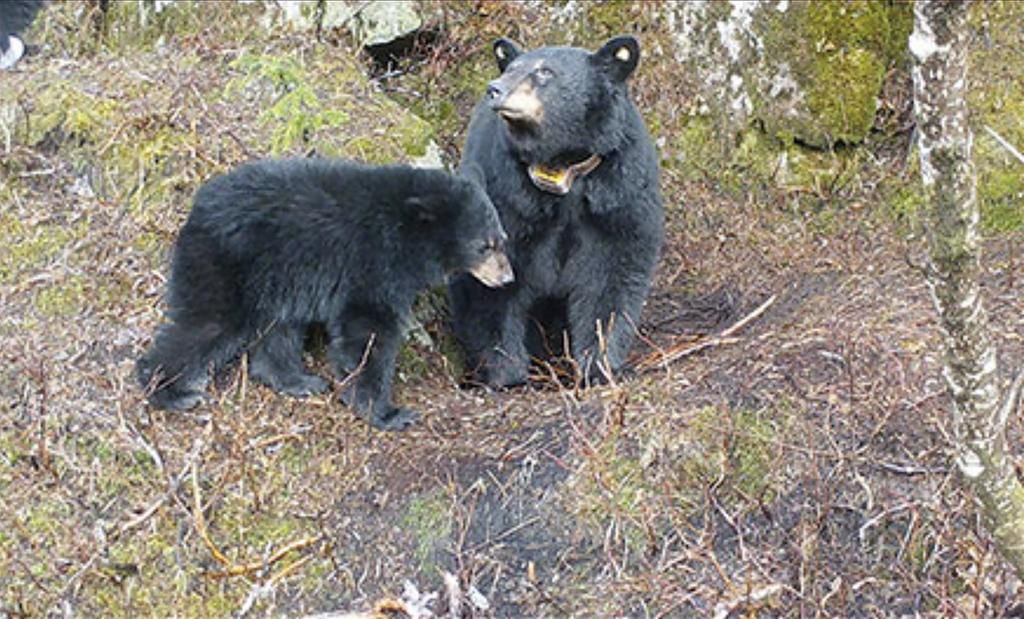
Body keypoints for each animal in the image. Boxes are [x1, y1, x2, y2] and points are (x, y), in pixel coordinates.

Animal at [136, 158, 513, 431]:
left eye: (502, 239)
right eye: (484, 246)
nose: (508, 277)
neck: (405, 235)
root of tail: (196, 209)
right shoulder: (372, 266)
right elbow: (367, 333)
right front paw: (388, 412)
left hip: (278, 282)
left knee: (278, 333)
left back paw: (298, 380)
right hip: (227, 268)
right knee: (207, 325)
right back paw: (170, 390)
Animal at [447, 35, 664, 389]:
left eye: (544, 72)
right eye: (510, 67)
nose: (494, 88)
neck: (563, 168)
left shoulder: (619, 195)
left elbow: (611, 278)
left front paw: (599, 365)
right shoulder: (509, 196)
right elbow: (490, 284)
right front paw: (507, 372)